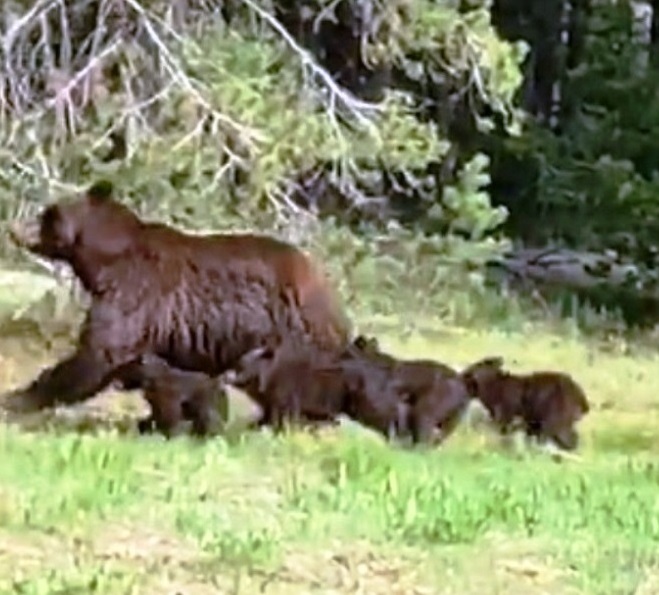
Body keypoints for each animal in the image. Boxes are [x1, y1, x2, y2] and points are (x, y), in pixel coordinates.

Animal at [4, 180, 352, 415]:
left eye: (48, 214)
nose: (13, 227)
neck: (105, 261)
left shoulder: (137, 291)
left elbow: (101, 349)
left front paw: (19, 397)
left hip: (295, 330)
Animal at [461, 356, 590, 451]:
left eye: (469, 373)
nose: (463, 373)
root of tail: (583, 401)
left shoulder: (506, 415)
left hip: (556, 419)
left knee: (569, 440)